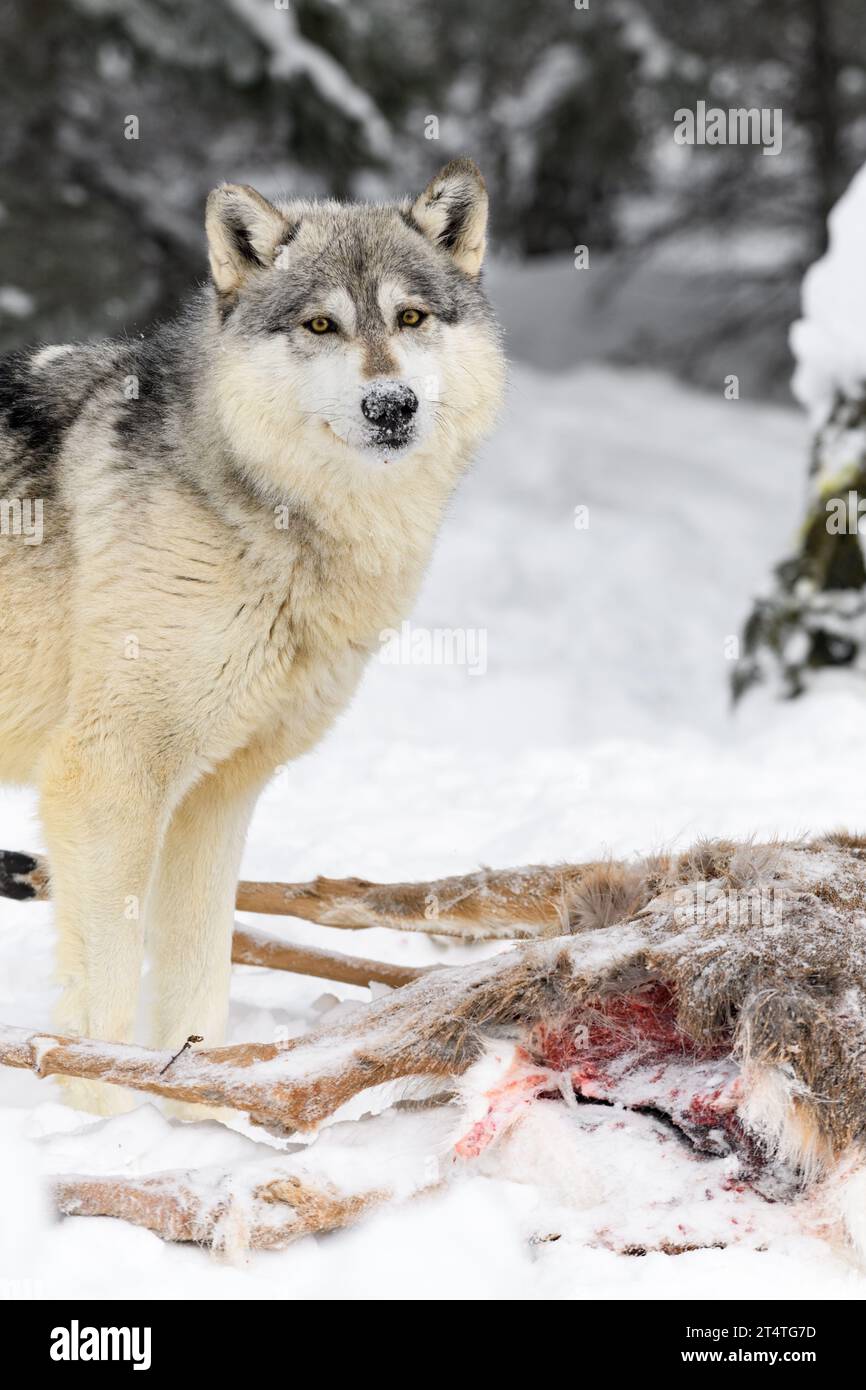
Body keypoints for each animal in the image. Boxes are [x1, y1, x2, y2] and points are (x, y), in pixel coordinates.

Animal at [0, 159, 505, 1112]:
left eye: (411, 319)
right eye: (321, 325)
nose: (391, 405)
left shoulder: (218, 793)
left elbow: (197, 983)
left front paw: (191, 1096)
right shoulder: (107, 778)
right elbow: (105, 993)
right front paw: (103, 1114)